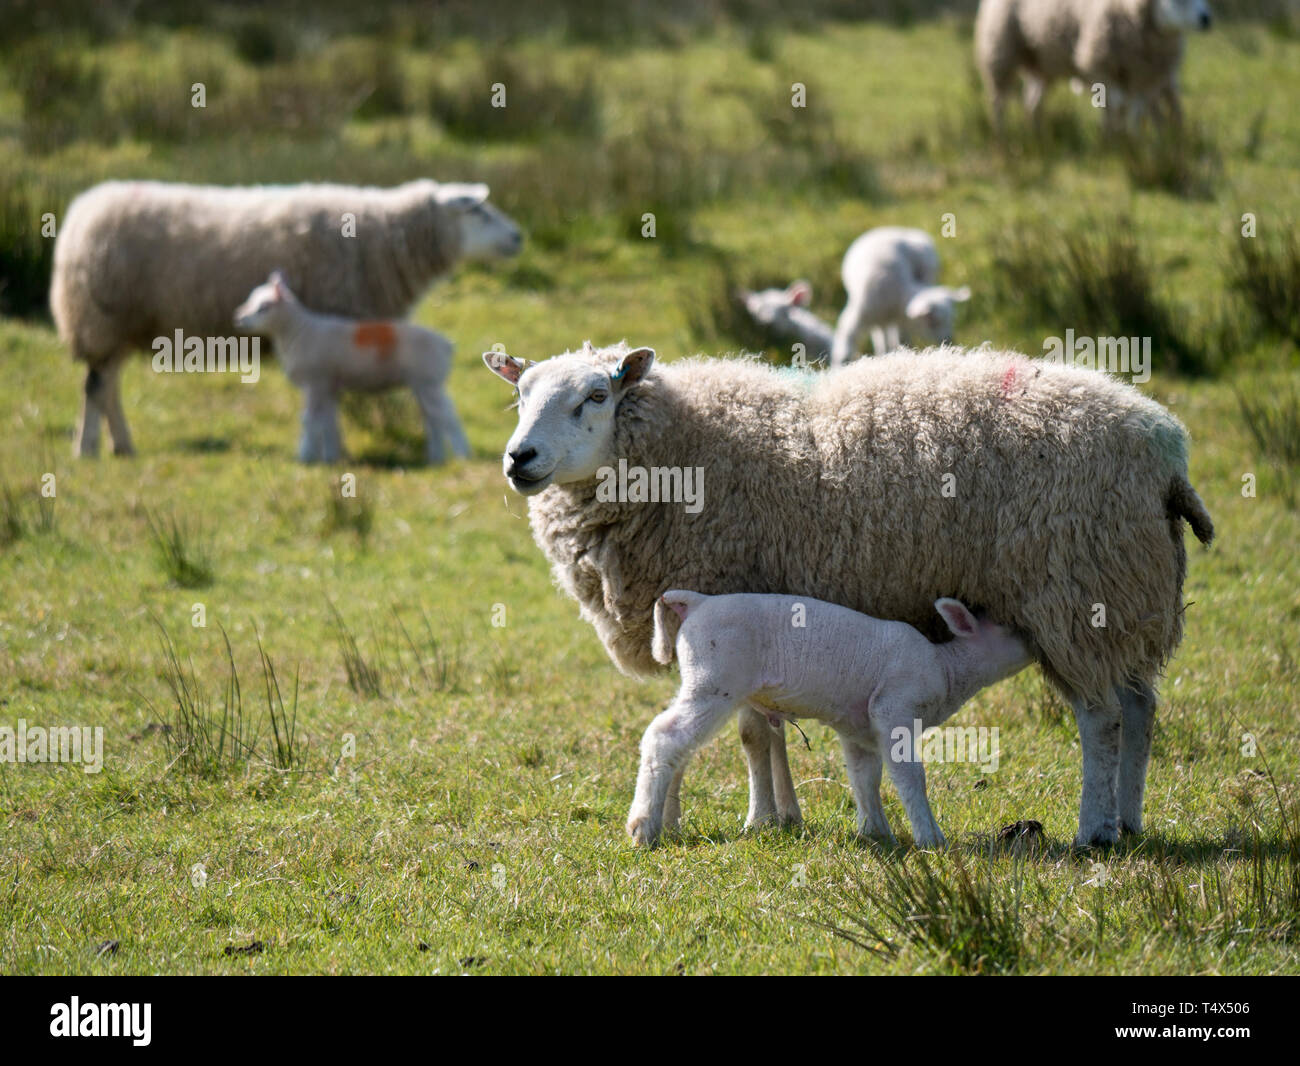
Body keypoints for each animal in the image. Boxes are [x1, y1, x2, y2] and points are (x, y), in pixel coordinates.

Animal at [233, 272, 468, 465]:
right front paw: (330, 458)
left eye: (264, 307)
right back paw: (436, 458)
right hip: (423, 384)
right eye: (250, 299)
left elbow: (309, 420)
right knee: (433, 419)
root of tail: (446, 344)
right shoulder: (328, 386)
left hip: (429, 381)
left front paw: (306, 457)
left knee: (447, 416)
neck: (299, 331)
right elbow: (328, 422)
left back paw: (462, 456)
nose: (239, 318)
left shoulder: (315, 381)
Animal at [627, 593, 1031, 847]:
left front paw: (876, 832)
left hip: (702, 682)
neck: (947, 670)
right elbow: (910, 775)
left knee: (678, 744)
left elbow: (865, 776)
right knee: (663, 737)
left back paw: (664, 822)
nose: (1035, 642)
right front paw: (930, 837)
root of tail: (697, 601)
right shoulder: (894, 707)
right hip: (715, 681)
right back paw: (643, 829)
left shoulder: (859, 725)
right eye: (1009, 626)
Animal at [975, 0, 1213, 136]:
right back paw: (1003, 139)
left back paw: (1037, 136)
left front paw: (1134, 144)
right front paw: (1116, 143)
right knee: (998, 102)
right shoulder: (1098, 62)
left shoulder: (1144, 77)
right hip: (1001, 51)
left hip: (1042, 62)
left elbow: (1134, 113)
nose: (1207, 19)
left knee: (1032, 103)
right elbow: (1117, 107)